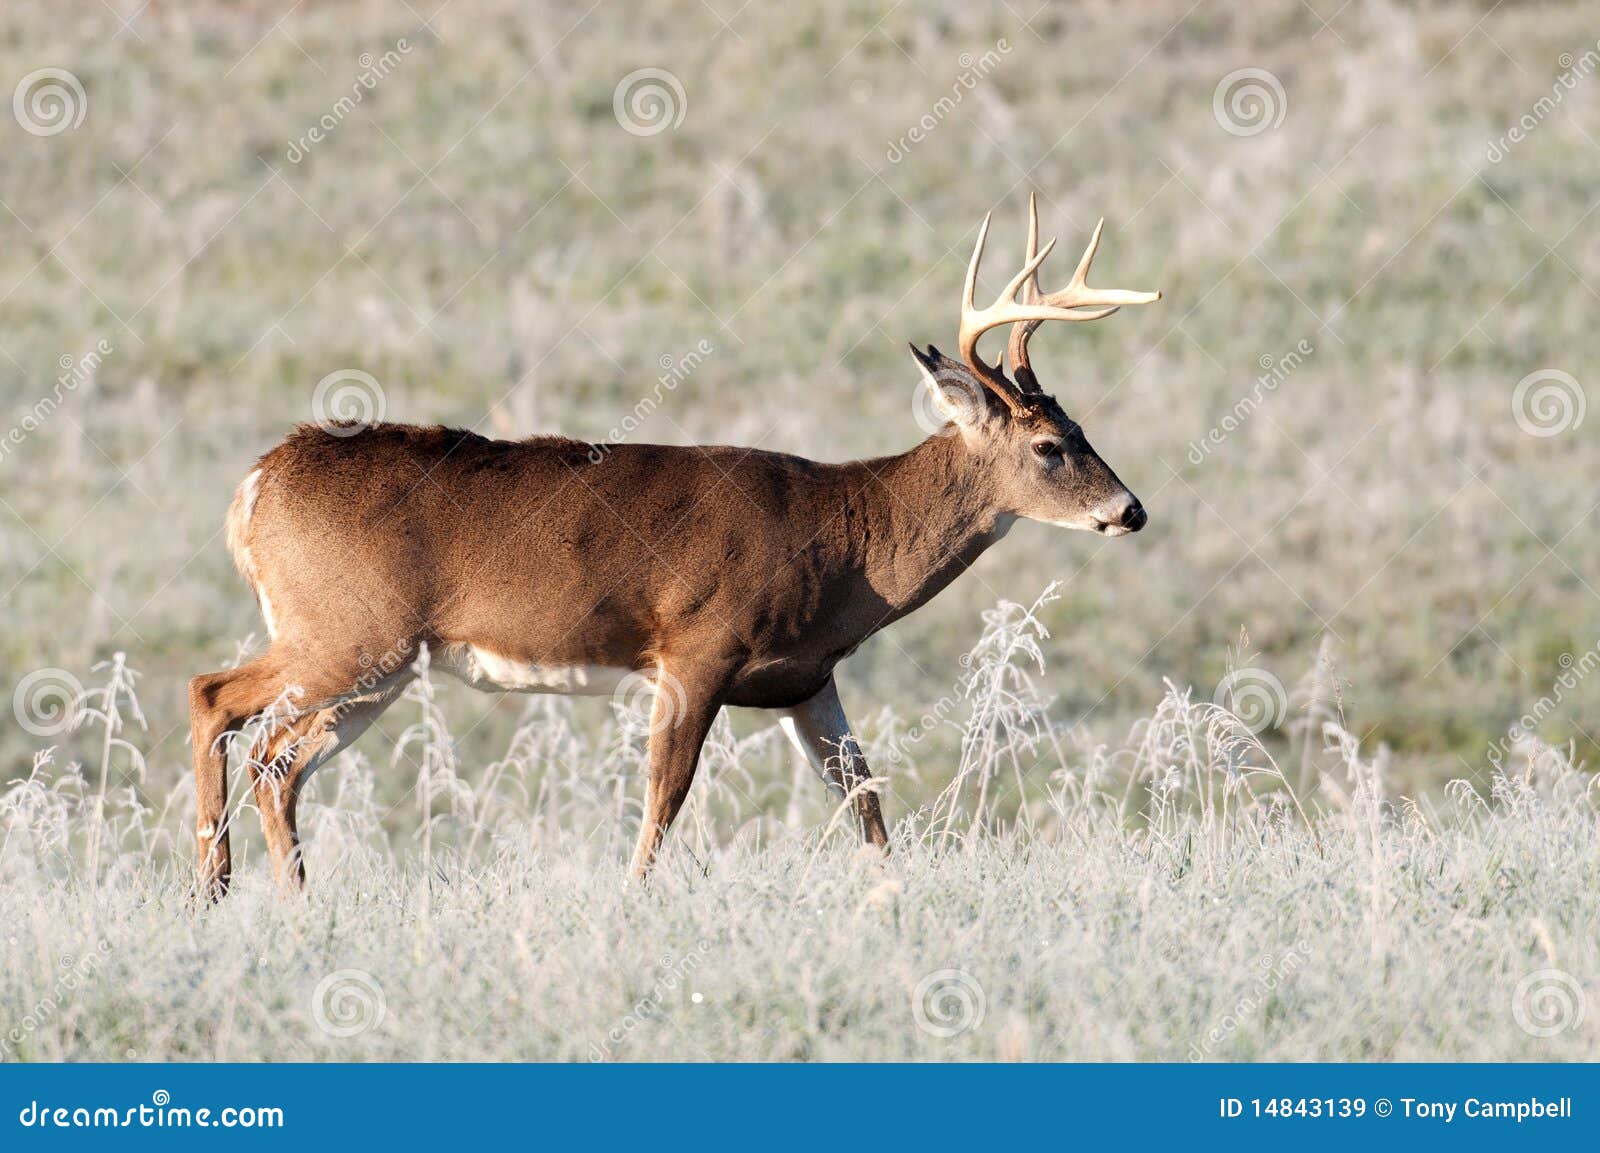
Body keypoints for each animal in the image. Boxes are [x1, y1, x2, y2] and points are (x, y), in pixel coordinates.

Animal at [188, 193, 1160, 898]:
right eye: (1051, 444)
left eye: (1082, 426)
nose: (1131, 509)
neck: (847, 544)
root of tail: (253, 486)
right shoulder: (699, 645)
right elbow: (665, 792)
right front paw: (632, 899)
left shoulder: (807, 678)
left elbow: (864, 794)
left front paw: (894, 897)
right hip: (346, 630)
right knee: (219, 699)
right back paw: (228, 884)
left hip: (380, 663)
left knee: (278, 758)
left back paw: (265, 893)